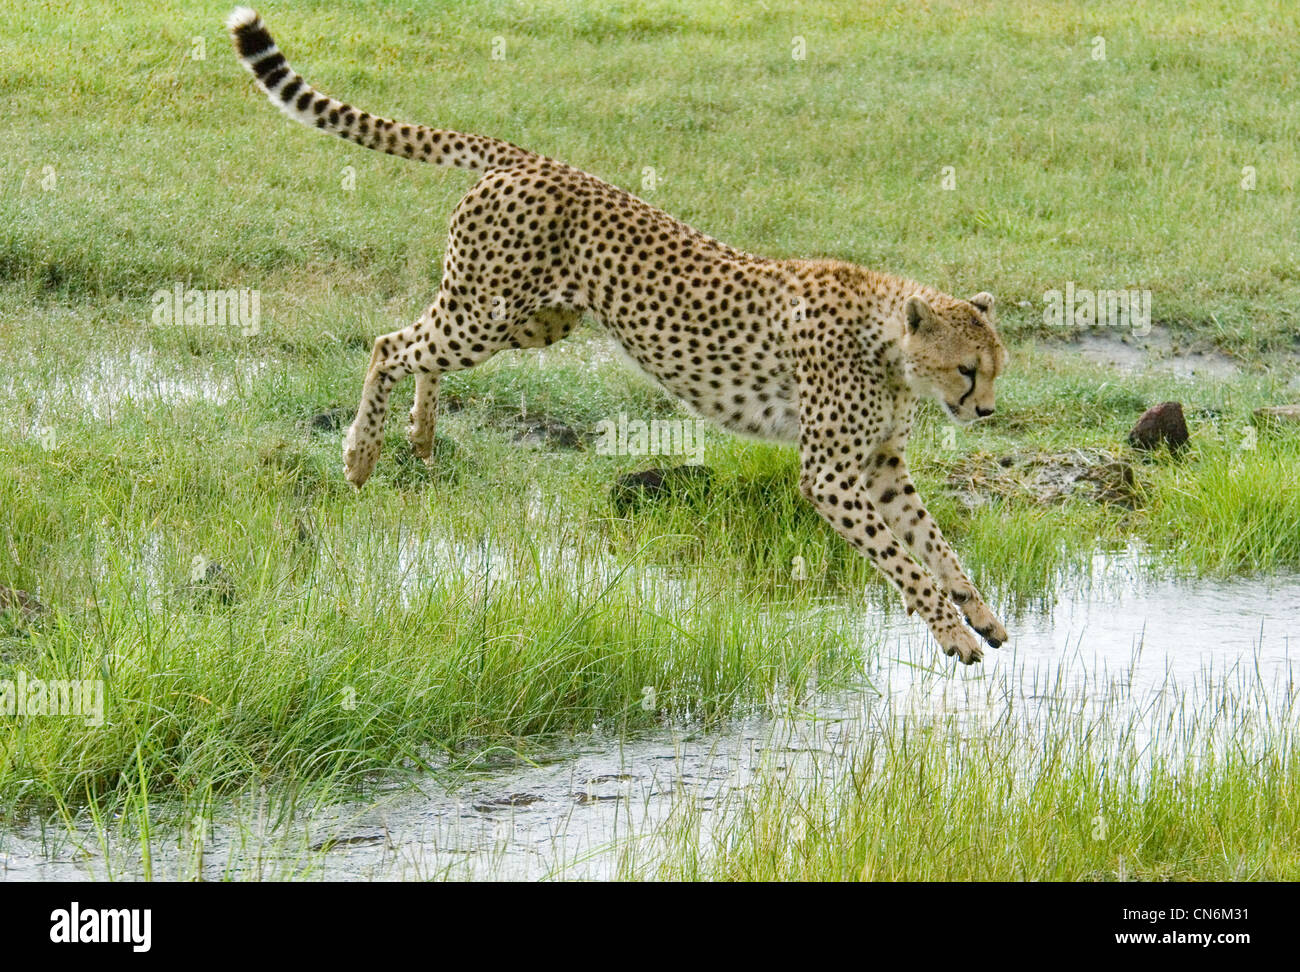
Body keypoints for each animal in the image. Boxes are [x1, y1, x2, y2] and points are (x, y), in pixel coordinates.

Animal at [226, 7, 1009, 664]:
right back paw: (361, 455)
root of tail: (536, 160)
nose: (987, 410)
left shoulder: (881, 465)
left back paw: (419, 434)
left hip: (526, 321)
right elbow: (901, 557)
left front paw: (983, 614)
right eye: (968, 370)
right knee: (388, 345)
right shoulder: (831, 474)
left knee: (416, 344)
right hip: (486, 314)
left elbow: (934, 540)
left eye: (993, 369)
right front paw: (950, 630)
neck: (890, 346)